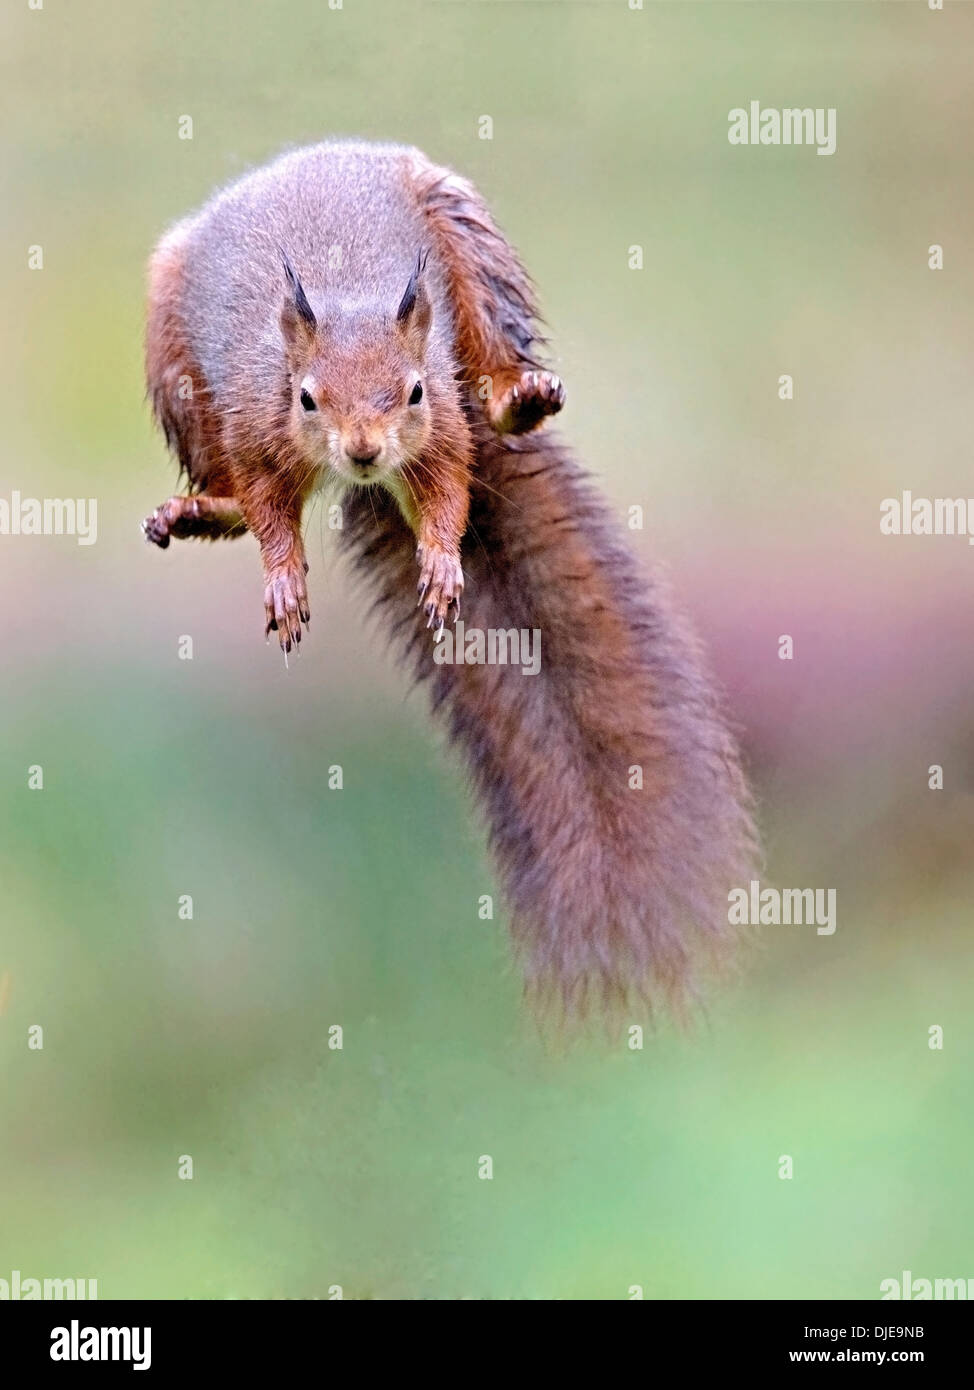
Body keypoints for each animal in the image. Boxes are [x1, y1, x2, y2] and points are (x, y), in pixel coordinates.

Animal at [143, 139, 757, 1017]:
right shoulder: (254, 428)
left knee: (493, 371)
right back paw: (201, 509)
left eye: (412, 390)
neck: (347, 302)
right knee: (224, 490)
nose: (365, 449)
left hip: (471, 245)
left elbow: (448, 490)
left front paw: (439, 558)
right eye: (306, 398)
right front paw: (285, 579)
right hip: (172, 361)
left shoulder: (439, 428)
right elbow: (266, 511)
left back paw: (516, 395)